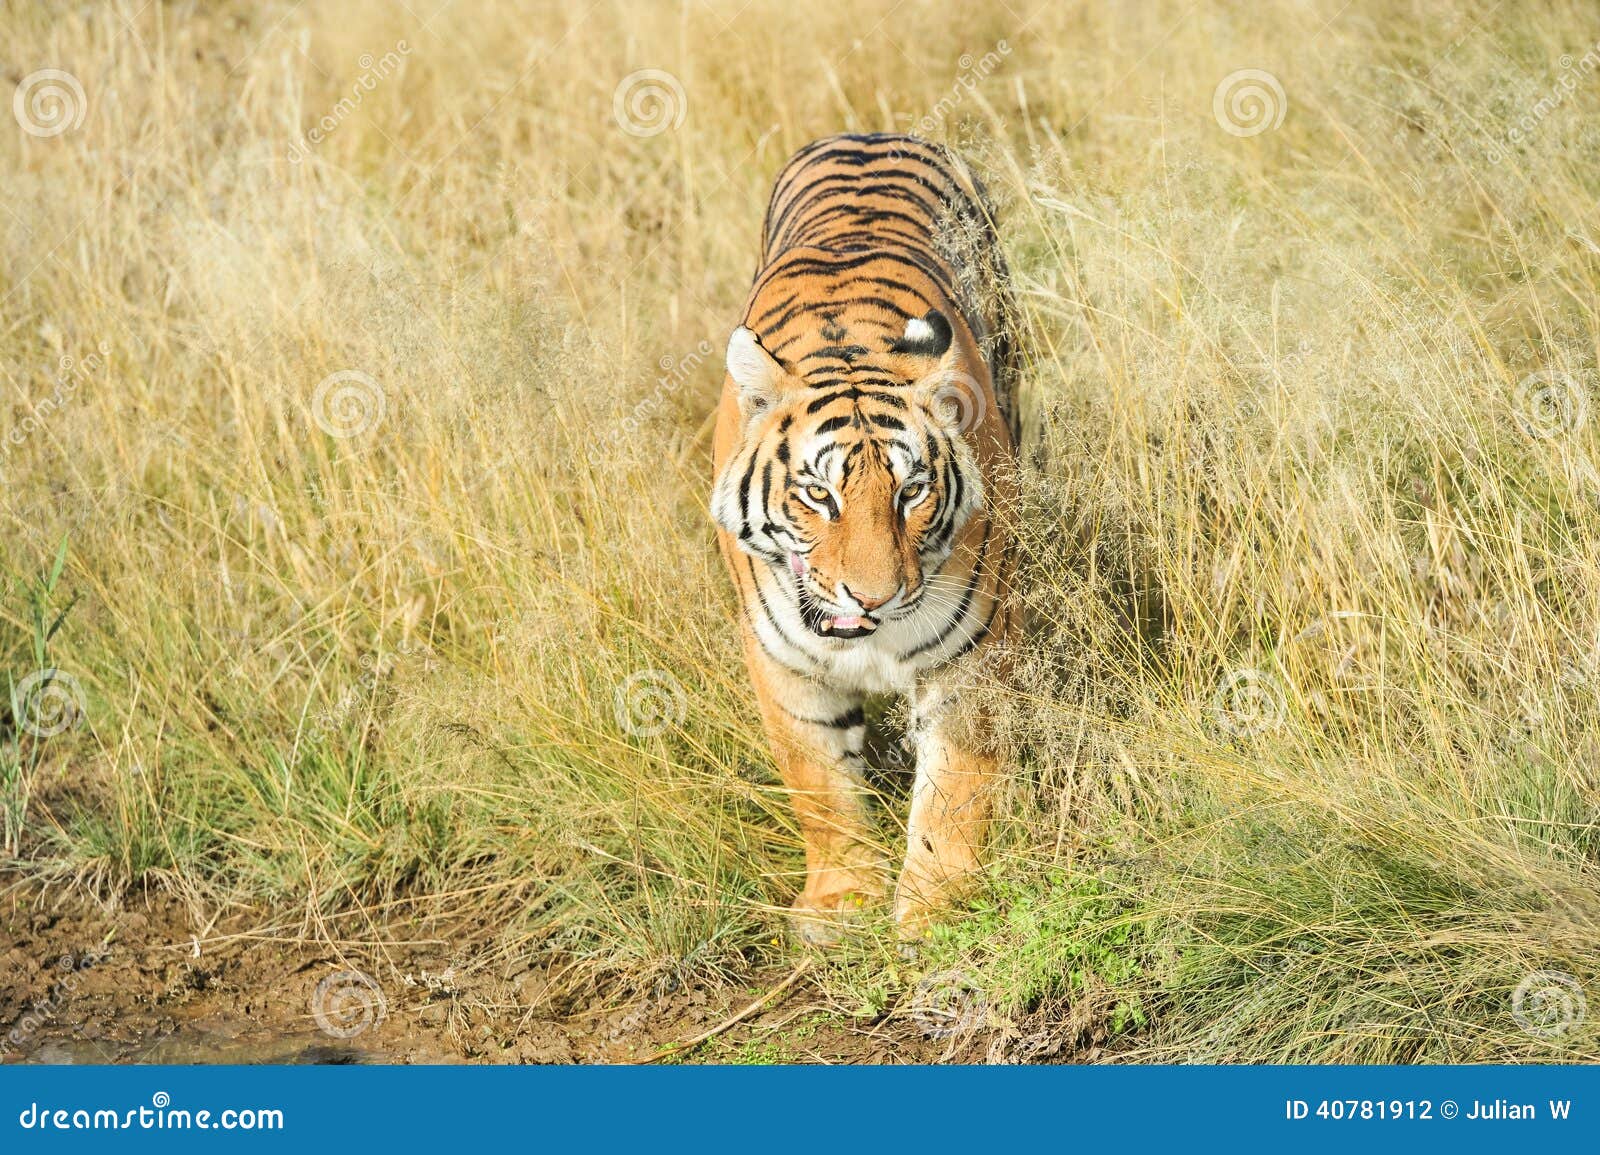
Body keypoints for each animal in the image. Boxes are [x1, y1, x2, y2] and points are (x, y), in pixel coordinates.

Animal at [710, 133, 1020, 945]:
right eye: (819, 494)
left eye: (911, 491)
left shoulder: (970, 654)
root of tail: (871, 133)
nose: (872, 596)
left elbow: (956, 785)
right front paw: (843, 899)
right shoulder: (781, 659)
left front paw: (939, 904)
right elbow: (817, 779)